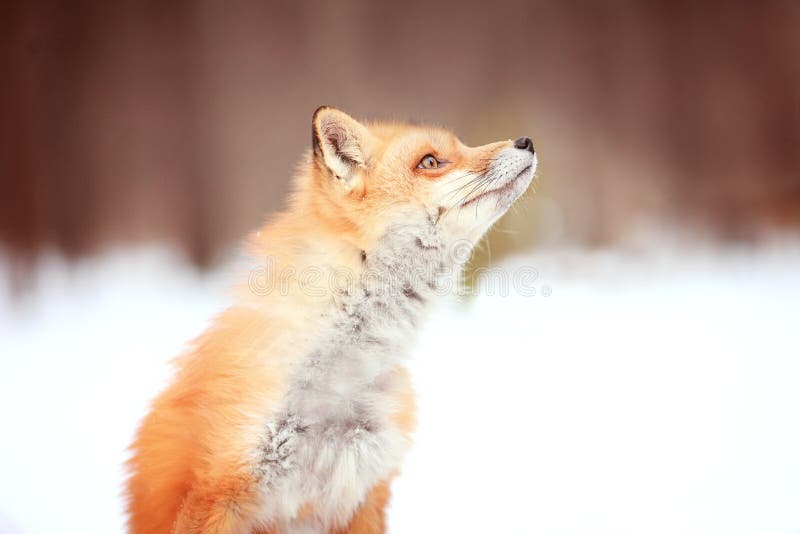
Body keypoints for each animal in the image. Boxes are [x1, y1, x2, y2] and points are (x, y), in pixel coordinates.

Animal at [126, 106, 537, 534]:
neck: (337, 384)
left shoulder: (362, 489)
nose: (526, 141)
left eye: (459, 147)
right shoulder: (218, 490)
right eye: (430, 162)